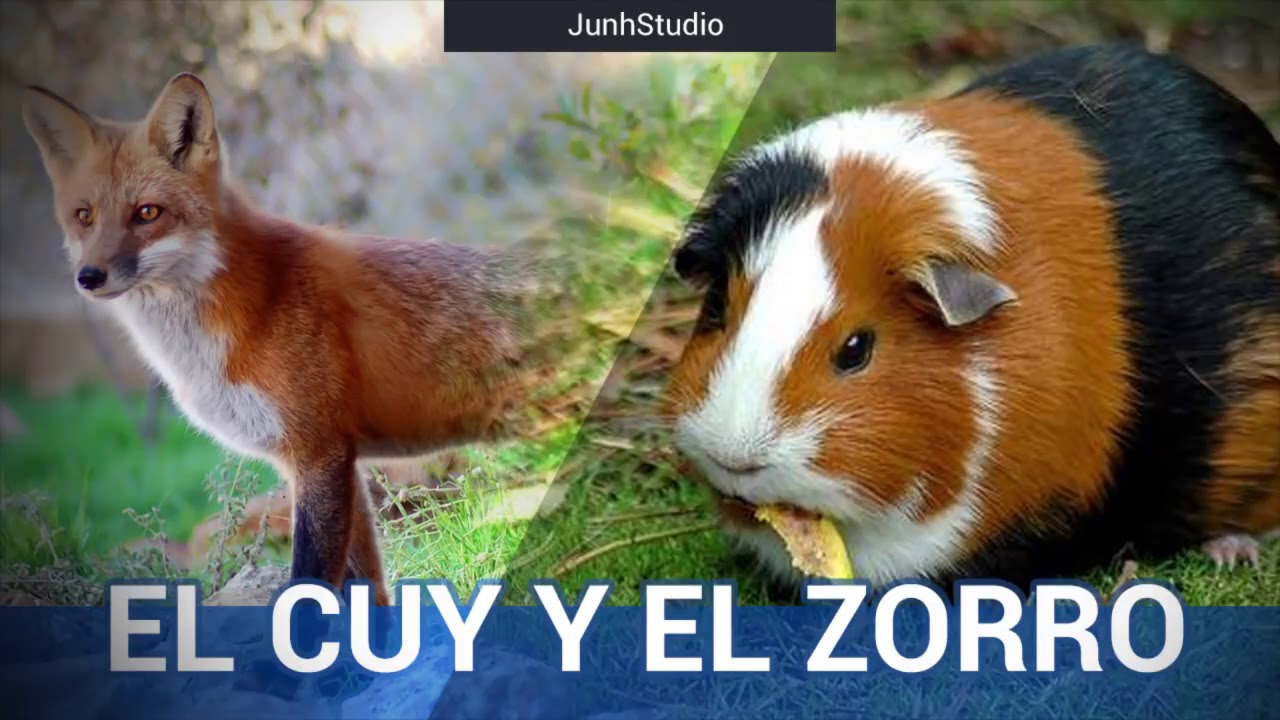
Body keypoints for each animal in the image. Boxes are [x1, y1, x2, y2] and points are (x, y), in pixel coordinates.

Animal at [22, 73, 536, 605]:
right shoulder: (339, 466)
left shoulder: (318, 456)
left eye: (147, 213)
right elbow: (369, 591)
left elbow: (308, 585)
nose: (89, 277)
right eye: (84, 215)